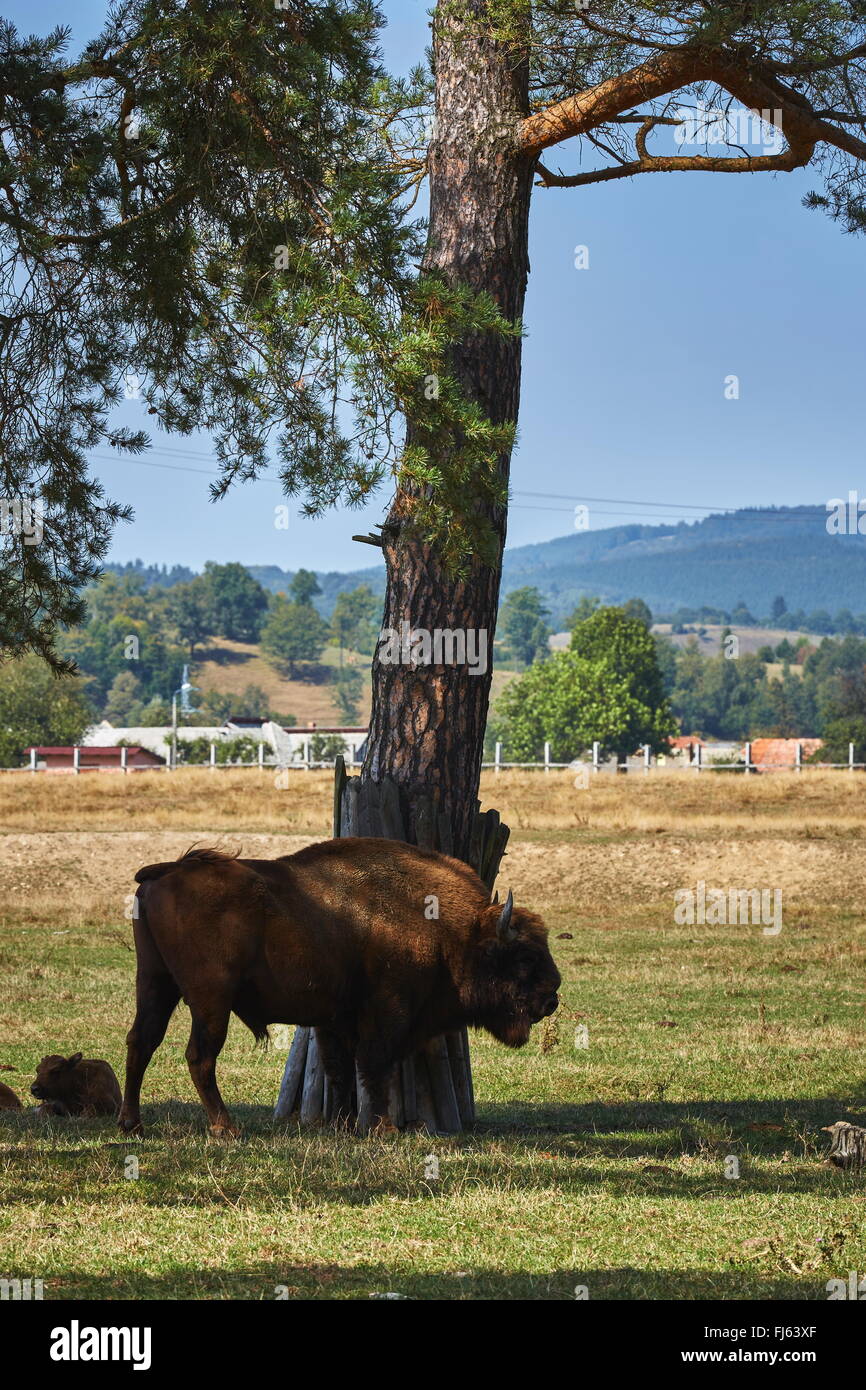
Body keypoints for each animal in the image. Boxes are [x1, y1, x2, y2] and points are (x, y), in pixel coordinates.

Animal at [120, 839, 561, 1137]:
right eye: (524, 956)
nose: (552, 997)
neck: (454, 931)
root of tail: (164, 872)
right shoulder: (386, 1013)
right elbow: (376, 1066)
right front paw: (384, 1129)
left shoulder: (336, 1019)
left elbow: (342, 1070)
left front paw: (346, 1124)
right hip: (211, 998)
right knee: (200, 1056)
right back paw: (224, 1127)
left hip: (154, 981)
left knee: (142, 1041)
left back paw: (132, 1124)